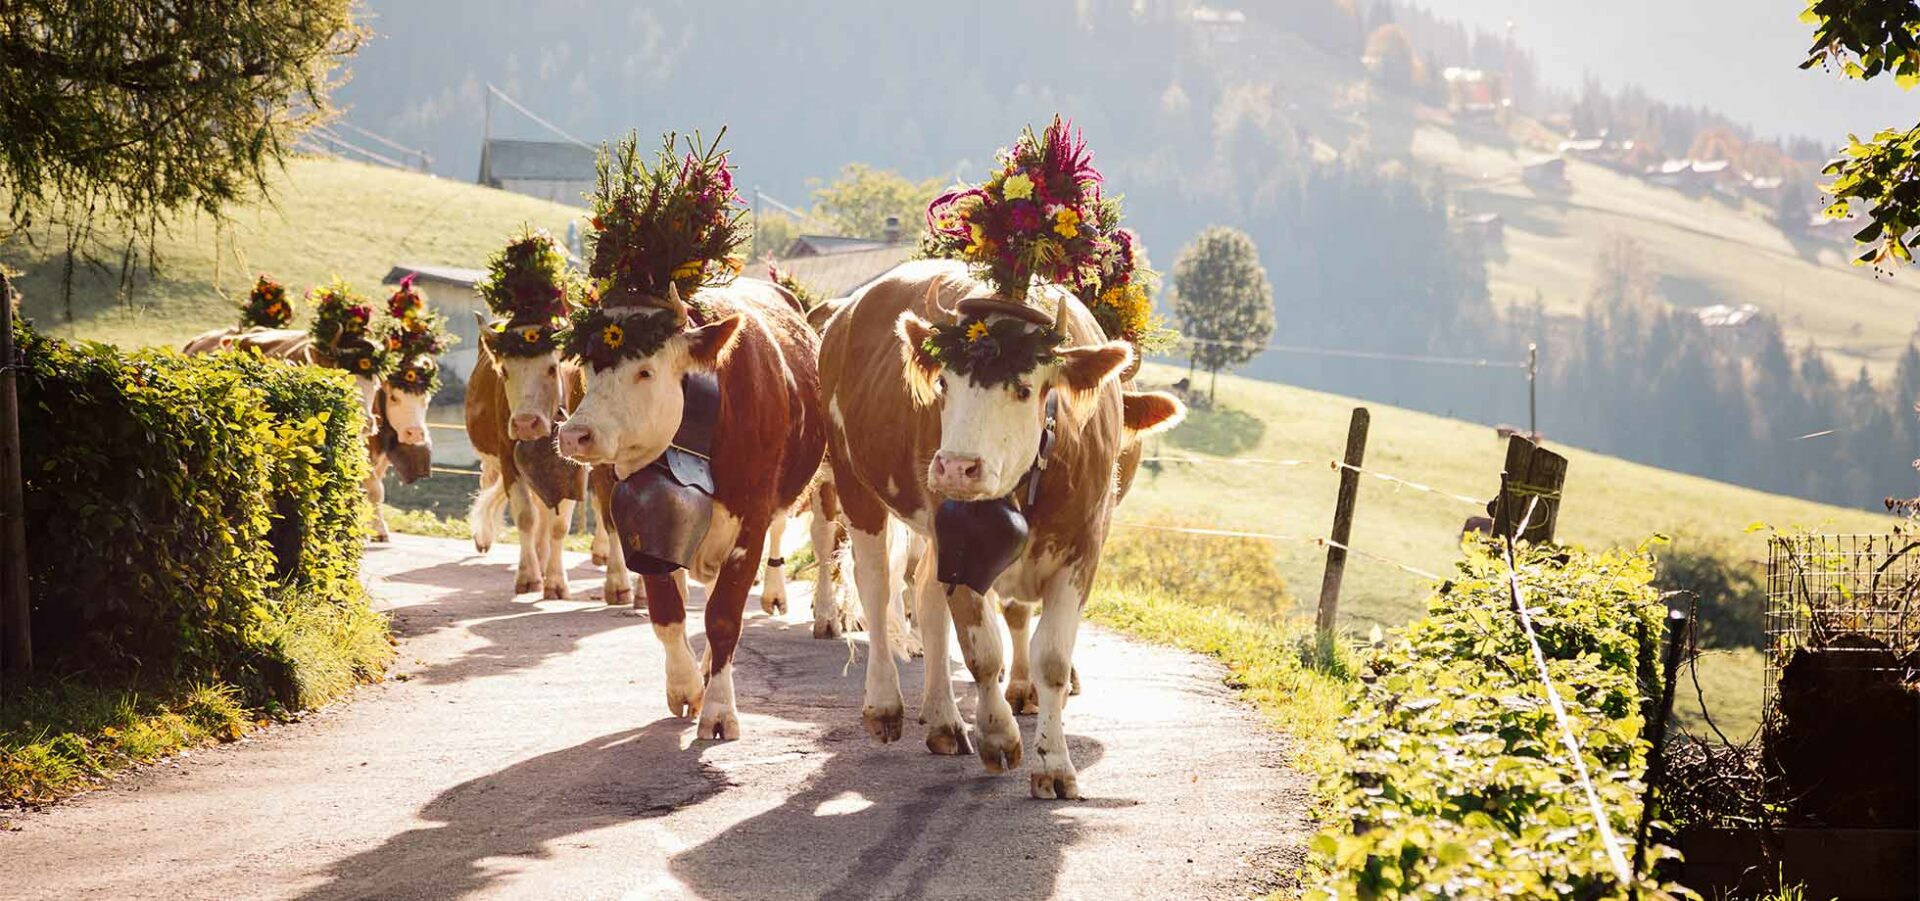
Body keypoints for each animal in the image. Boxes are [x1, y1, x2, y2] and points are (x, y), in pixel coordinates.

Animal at [556, 278, 826, 741]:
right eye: (589, 368)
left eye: (645, 371)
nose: (574, 434)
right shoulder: (647, 522)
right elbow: (668, 613)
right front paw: (684, 687)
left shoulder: (752, 520)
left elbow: (723, 616)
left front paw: (718, 710)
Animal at [818, 258, 1183, 799]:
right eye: (944, 384)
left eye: (1024, 389)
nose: (955, 467)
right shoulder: (964, 549)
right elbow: (983, 653)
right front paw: (998, 736)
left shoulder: (1083, 548)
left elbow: (1052, 658)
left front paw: (1054, 763)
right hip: (853, 481)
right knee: (878, 587)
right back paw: (885, 704)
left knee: (925, 595)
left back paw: (944, 719)